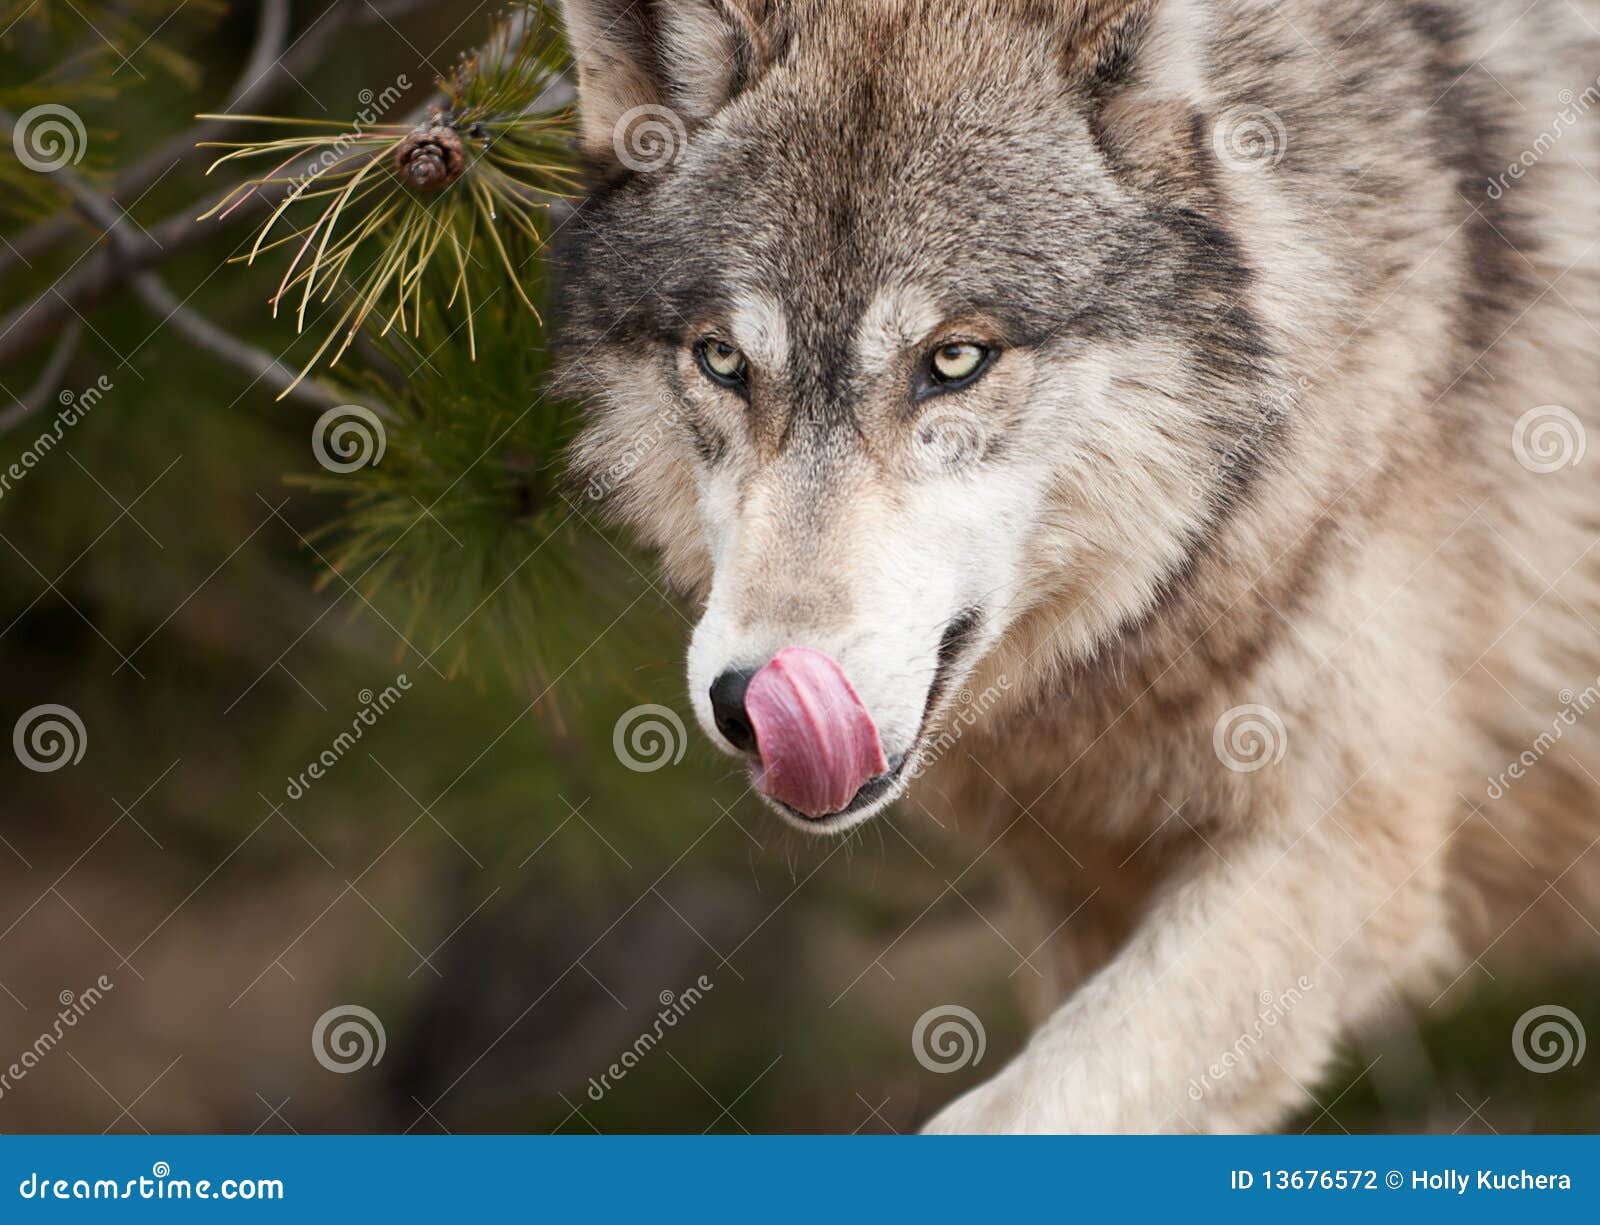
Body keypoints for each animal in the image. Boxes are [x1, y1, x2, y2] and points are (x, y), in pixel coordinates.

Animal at [553, 0, 1600, 1132]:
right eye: (722, 361)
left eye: (954, 360)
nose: (751, 702)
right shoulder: (1079, 899)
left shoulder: (1339, 847)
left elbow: (1023, 1108)